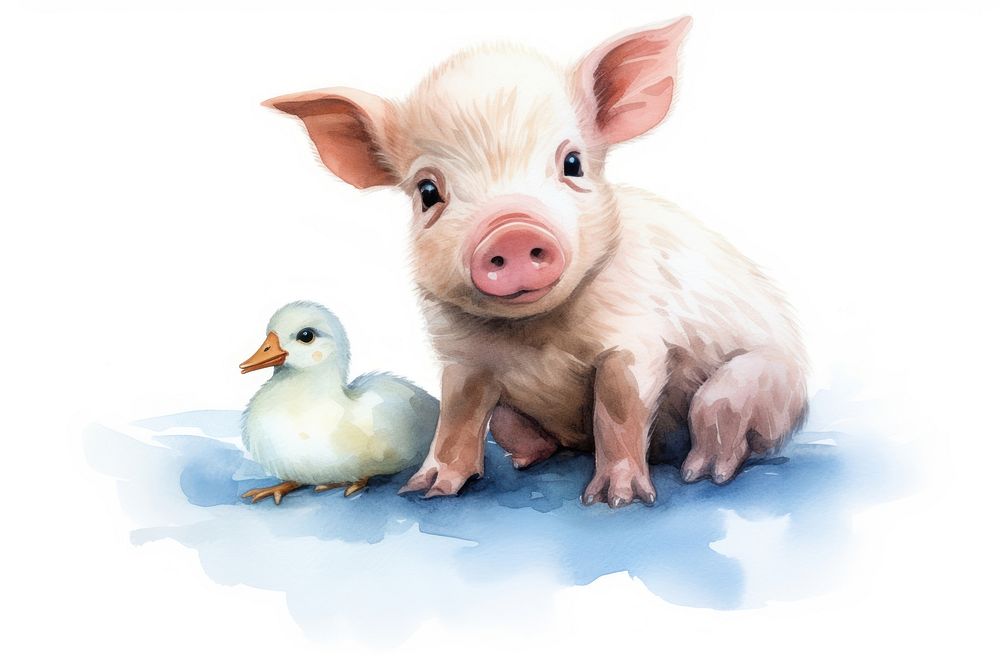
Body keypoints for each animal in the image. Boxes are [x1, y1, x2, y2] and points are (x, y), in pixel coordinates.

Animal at [263, 16, 808, 508]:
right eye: (427, 191)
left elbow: (619, 410)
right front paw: (422, 490)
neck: (534, 339)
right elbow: (456, 418)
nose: (514, 228)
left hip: (757, 384)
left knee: (719, 416)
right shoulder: (462, 360)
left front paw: (615, 501)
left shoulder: (635, 339)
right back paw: (530, 460)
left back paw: (701, 474)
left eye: (573, 163)